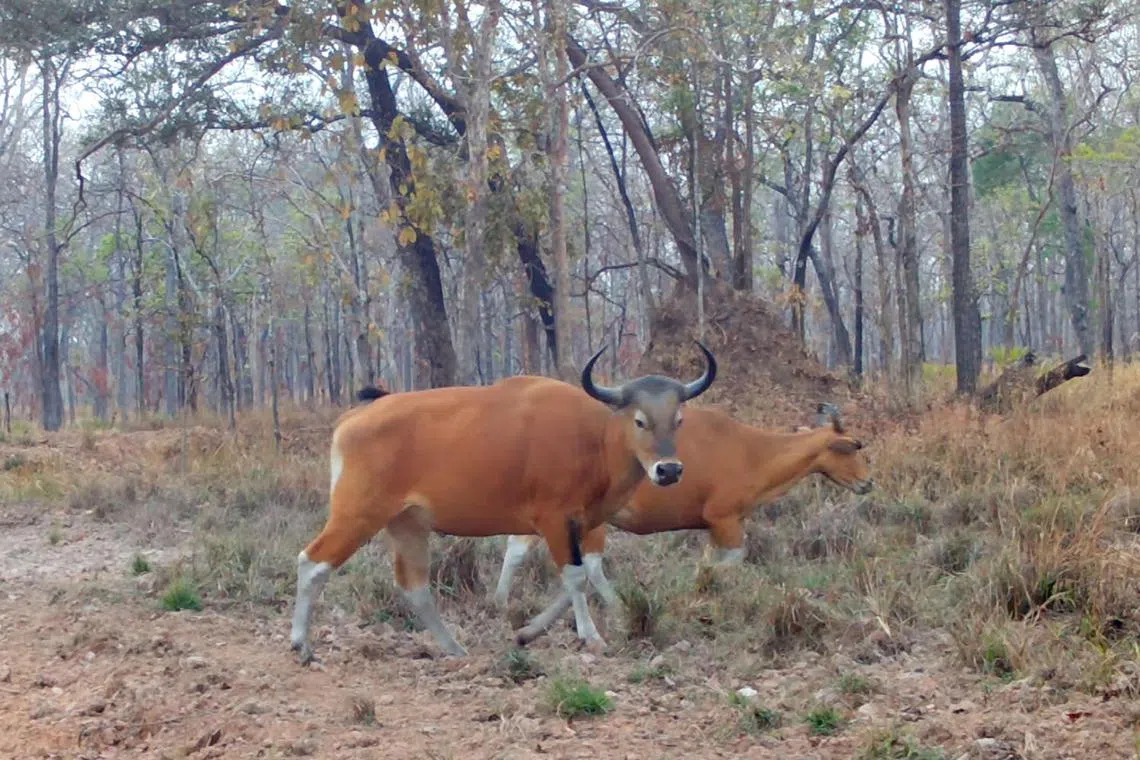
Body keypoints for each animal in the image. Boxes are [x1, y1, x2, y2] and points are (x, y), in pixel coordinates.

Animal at [288, 342, 717, 663]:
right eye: (640, 420)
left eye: (678, 420)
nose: (668, 469)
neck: (594, 439)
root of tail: (352, 420)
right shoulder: (554, 519)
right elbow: (576, 576)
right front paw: (590, 635)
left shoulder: (584, 524)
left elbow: (583, 576)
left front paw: (528, 632)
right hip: (357, 514)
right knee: (312, 562)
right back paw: (300, 643)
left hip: (407, 524)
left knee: (415, 586)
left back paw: (453, 647)